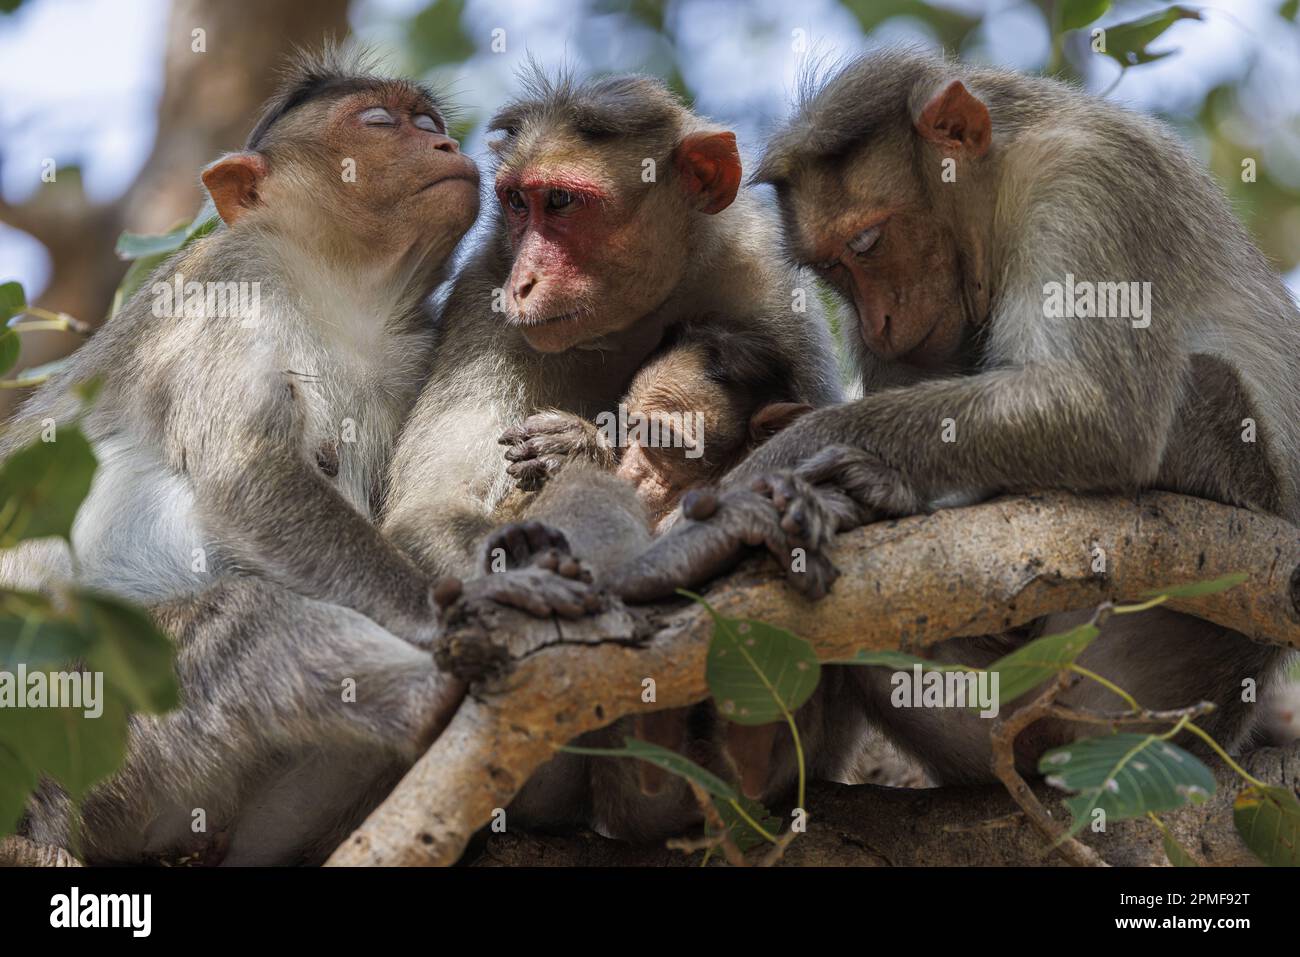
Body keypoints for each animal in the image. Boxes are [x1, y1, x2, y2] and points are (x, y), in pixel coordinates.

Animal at [6, 49, 480, 864]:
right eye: (380, 122)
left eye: (428, 123)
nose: (448, 145)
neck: (339, 295)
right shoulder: (227, 289)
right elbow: (246, 476)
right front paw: (436, 609)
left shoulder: (411, 347)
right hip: (69, 728)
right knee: (247, 626)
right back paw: (427, 701)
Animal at [379, 70, 847, 840]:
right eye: (518, 202)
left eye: (564, 203)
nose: (525, 282)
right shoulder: (485, 293)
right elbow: (429, 509)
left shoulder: (768, 290)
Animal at [606, 49, 1300, 788]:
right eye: (831, 267)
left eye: (868, 242)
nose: (877, 324)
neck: (1008, 173)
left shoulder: (1090, 180)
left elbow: (1101, 410)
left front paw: (764, 472)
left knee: (1200, 385)